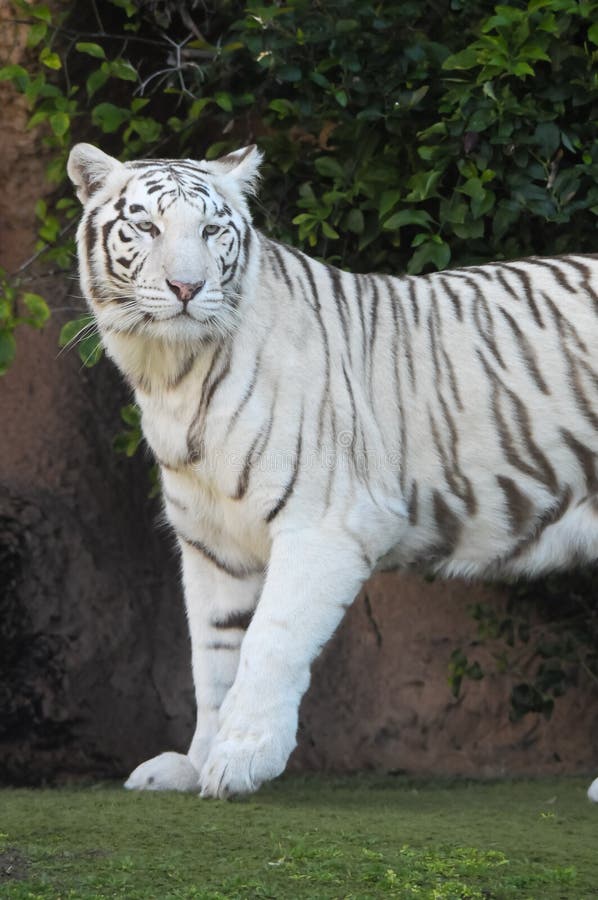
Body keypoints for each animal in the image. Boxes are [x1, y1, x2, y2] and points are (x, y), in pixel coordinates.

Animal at [67, 141, 598, 800]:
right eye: (146, 227)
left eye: (212, 230)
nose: (187, 286)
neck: (171, 373)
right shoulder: (211, 544)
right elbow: (212, 655)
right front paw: (194, 763)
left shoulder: (326, 524)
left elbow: (269, 640)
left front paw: (240, 760)